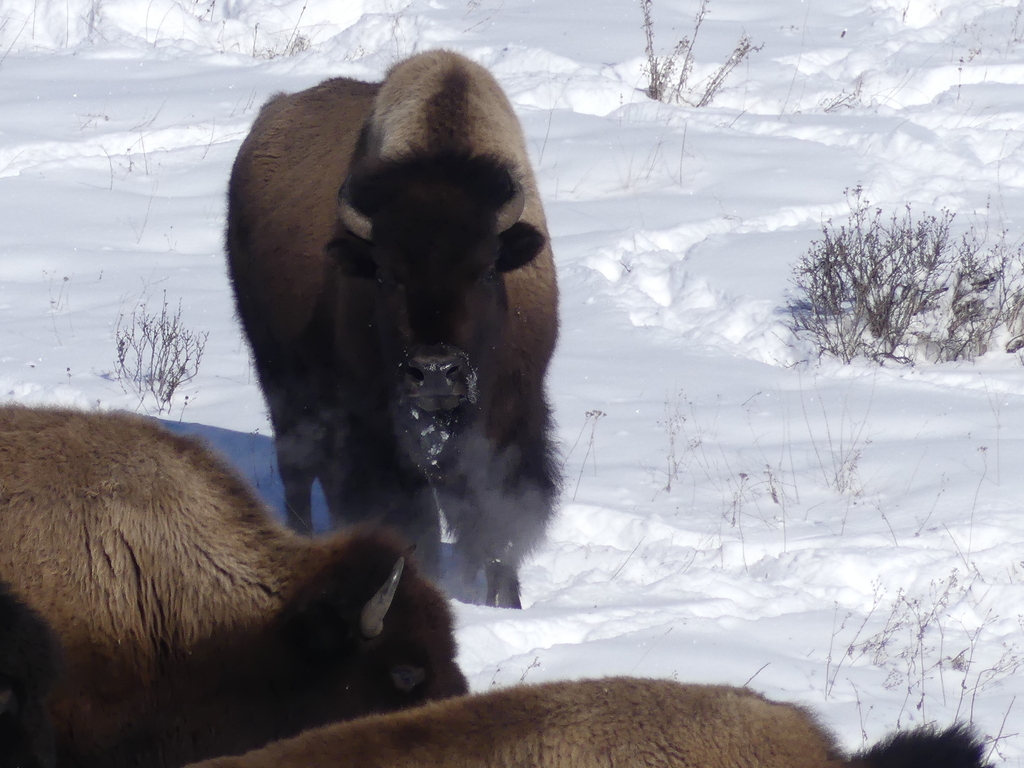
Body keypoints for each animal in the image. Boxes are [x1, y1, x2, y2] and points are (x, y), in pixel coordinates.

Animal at [227, 49, 560, 608]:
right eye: (384, 273)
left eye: (487, 269)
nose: (435, 373)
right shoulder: (378, 435)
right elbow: (411, 522)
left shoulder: (513, 419)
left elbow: (498, 526)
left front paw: (506, 602)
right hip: (281, 380)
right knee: (298, 474)